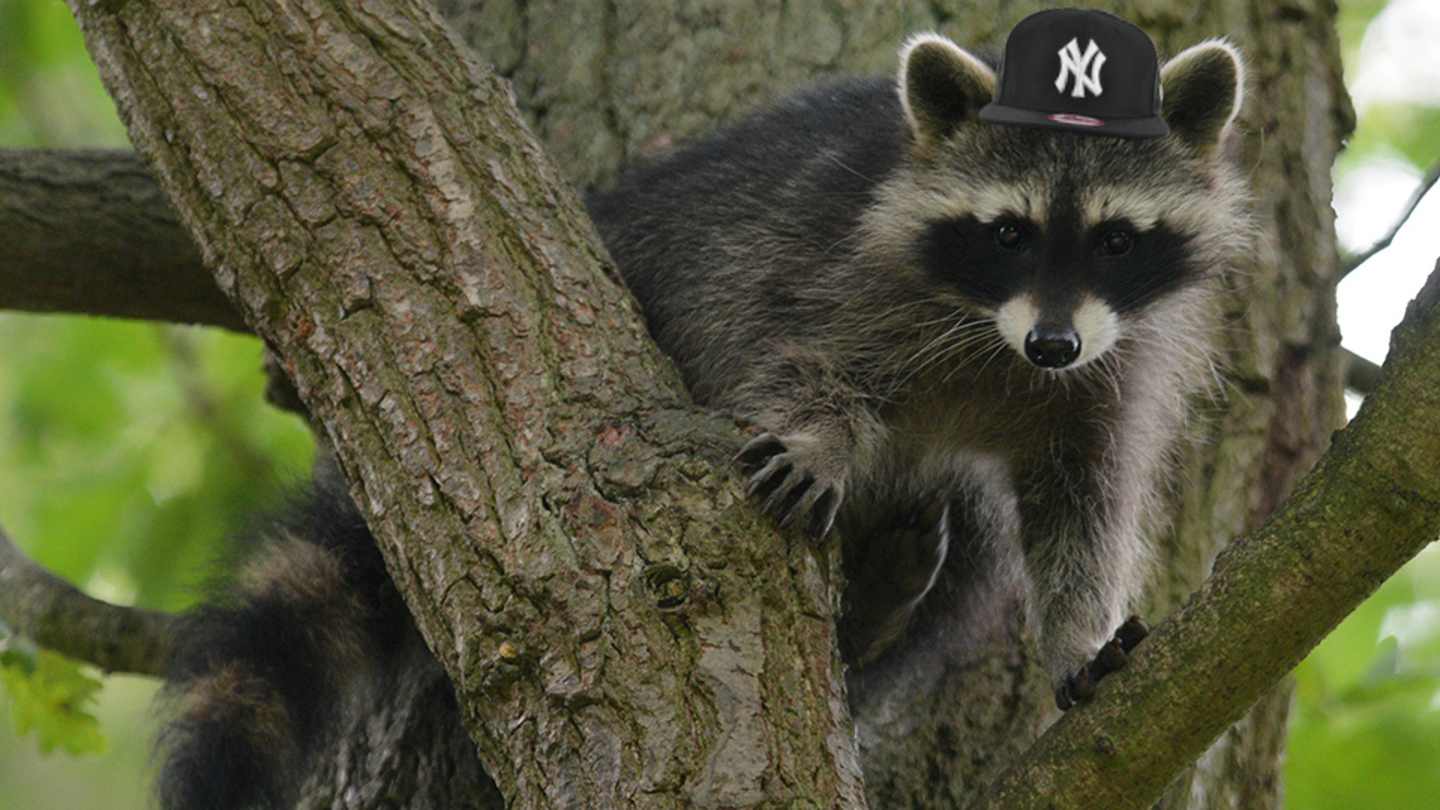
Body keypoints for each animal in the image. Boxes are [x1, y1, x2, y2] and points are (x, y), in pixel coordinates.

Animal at [156, 31, 1248, 810]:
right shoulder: (836, 275)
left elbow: (1082, 505)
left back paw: (876, 617)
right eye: (1008, 231)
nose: (1053, 345)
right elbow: (797, 358)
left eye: (1115, 239)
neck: (997, 338)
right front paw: (817, 439)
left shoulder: (1113, 369)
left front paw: (1079, 635)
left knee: (973, 538)